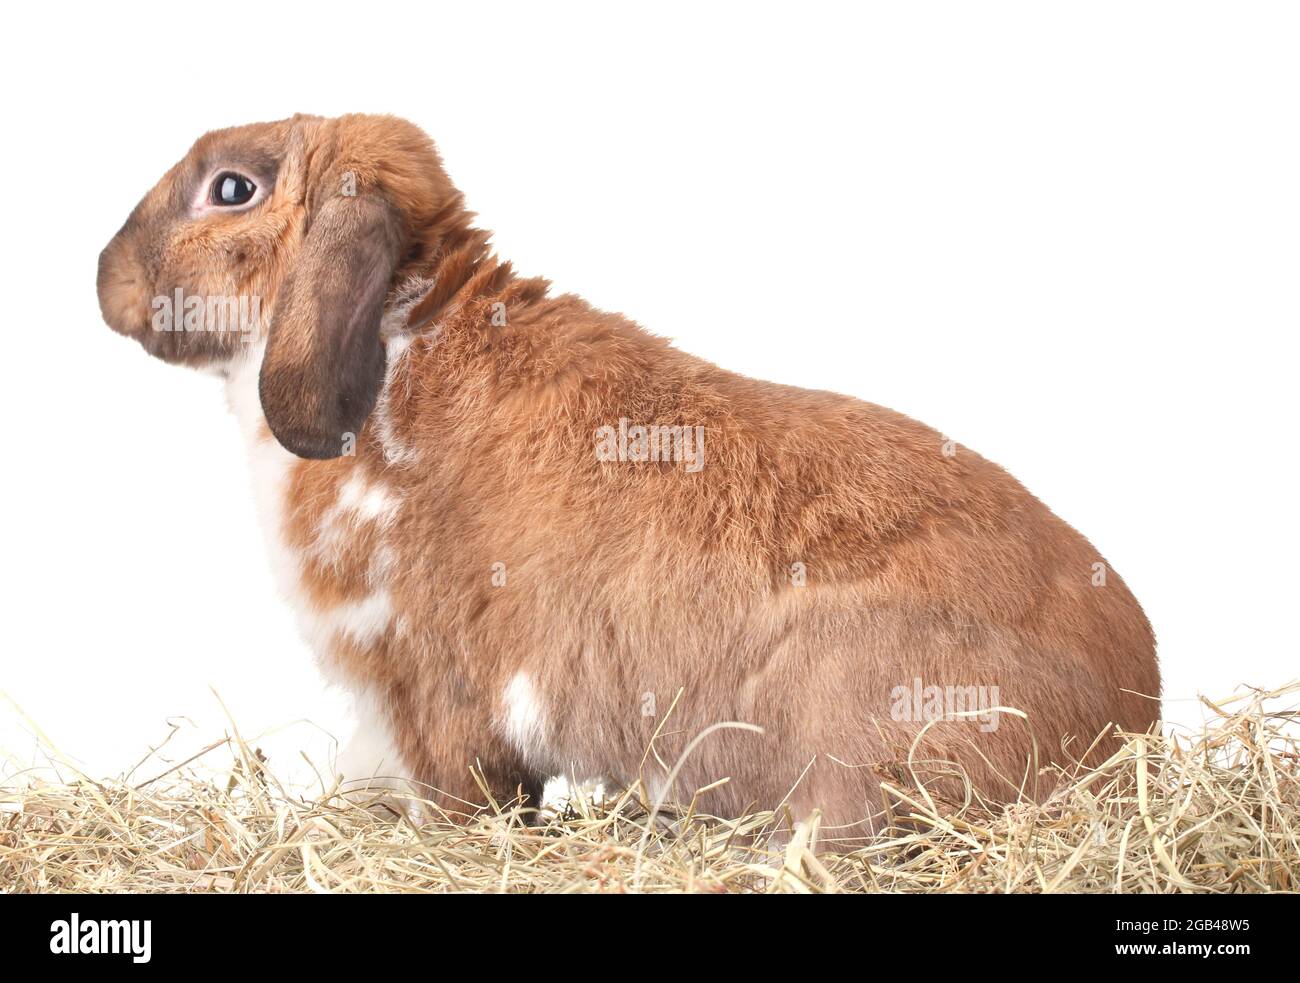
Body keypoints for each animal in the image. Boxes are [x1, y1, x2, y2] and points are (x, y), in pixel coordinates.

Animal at [97, 113, 1159, 845]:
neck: (401, 349)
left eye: (232, 187)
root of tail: (1131, 719)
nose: (105, 277)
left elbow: (462, 794)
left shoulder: (432, 692)